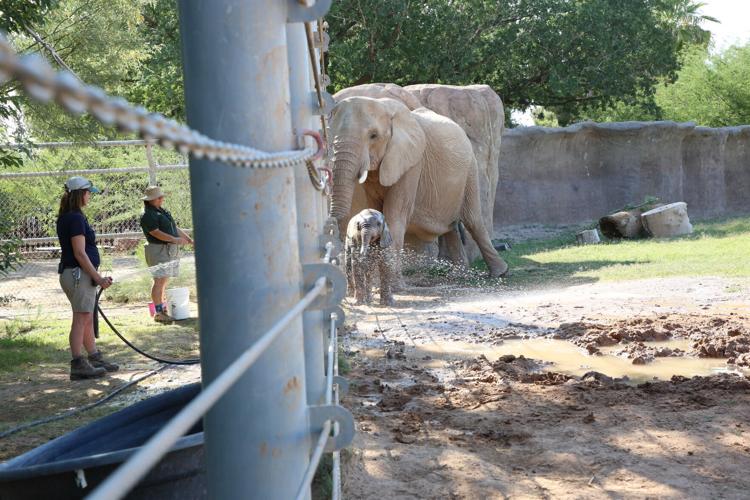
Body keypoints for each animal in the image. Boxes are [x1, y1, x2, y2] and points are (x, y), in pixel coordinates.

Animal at [329, 96, 509, 282]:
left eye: (373, 136)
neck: (384, 106)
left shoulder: (413, 163)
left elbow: (394, 216)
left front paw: (392, 281)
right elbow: (376, 212)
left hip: (470, 170)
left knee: (473, 221)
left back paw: (499, 273)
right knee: (451, 227)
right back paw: (459, 274)